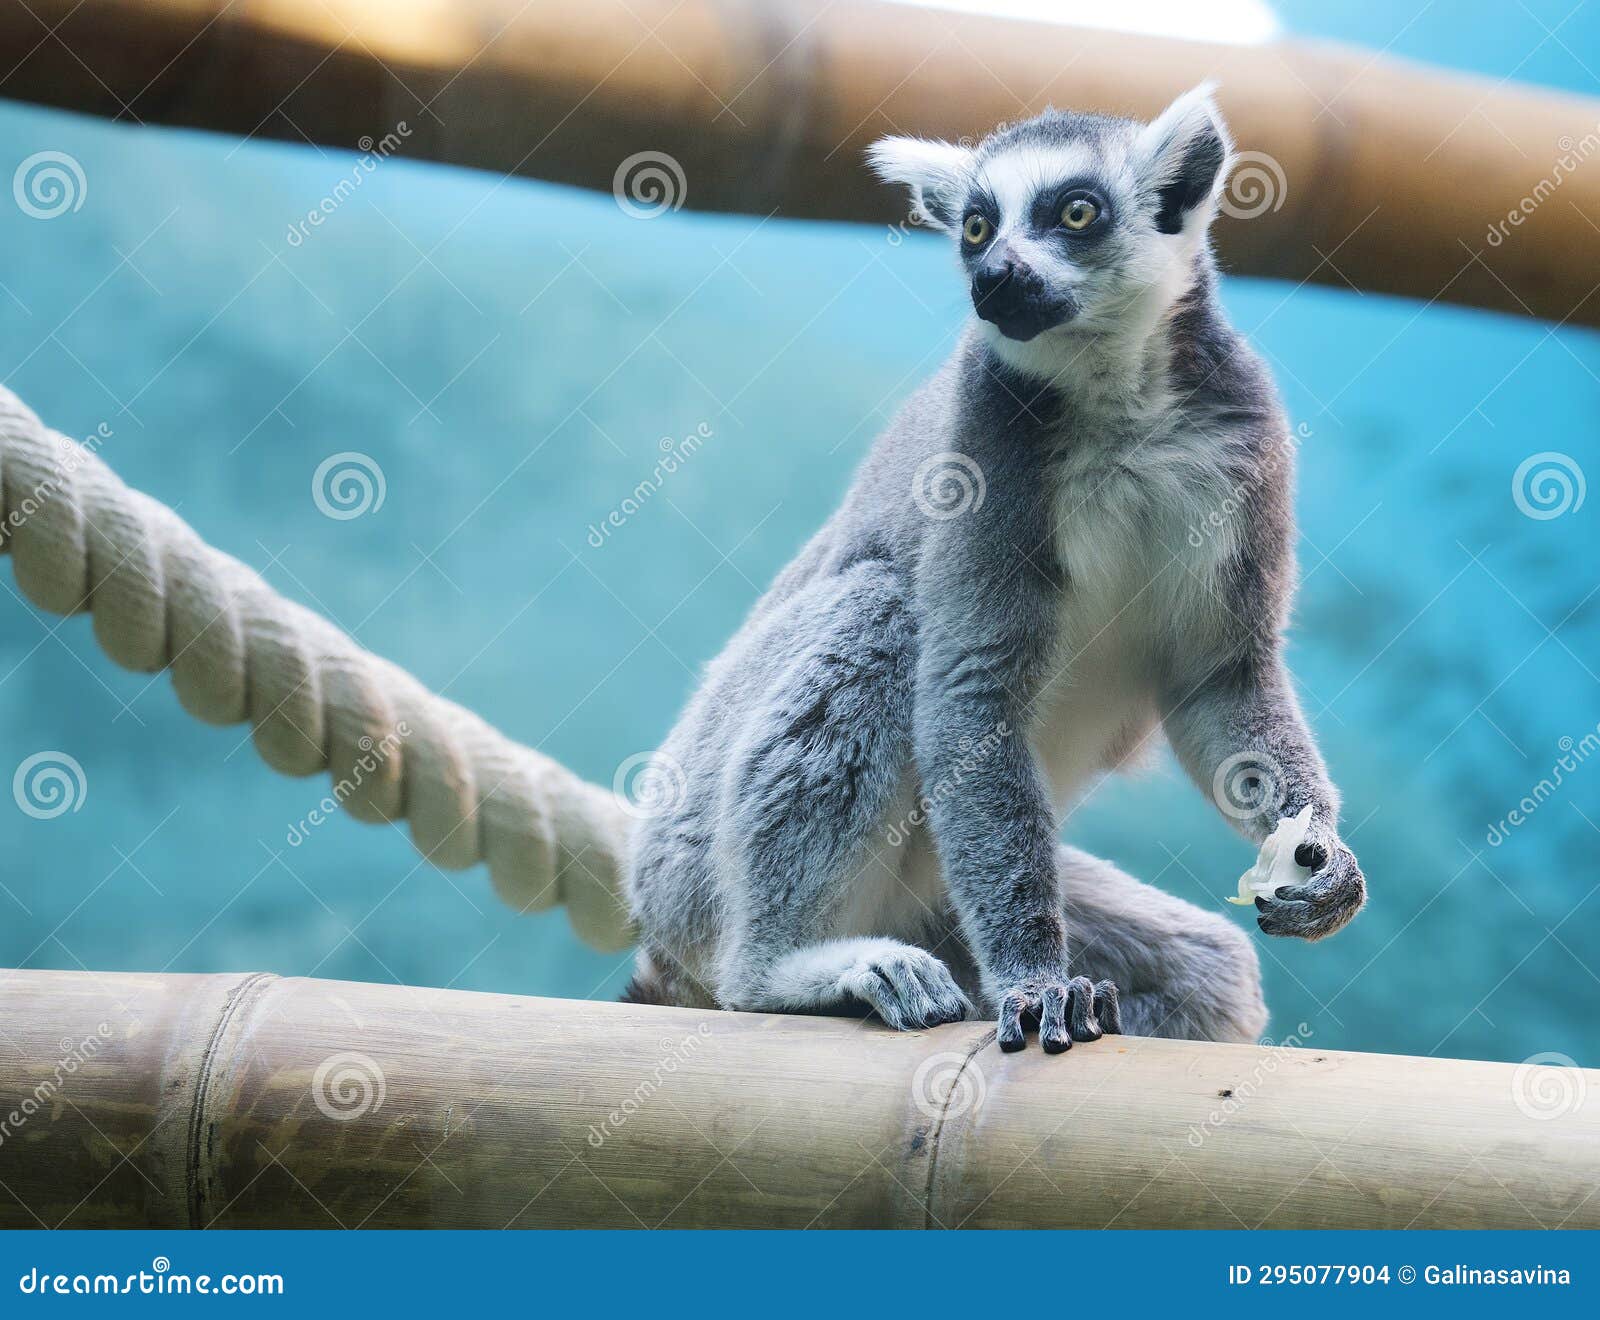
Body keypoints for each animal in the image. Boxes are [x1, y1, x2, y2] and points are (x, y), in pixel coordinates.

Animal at [621, 86, 1365, 1052]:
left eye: (1075, 212)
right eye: (976, 228)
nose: (993, 278)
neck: (1120, 408)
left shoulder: (1240, 441)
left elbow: (1220, 679)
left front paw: (1318, 856)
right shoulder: (984, 446)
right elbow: (972, 691)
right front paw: (1037, 980)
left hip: (939, 905)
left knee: (1212, 972)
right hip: (690, 858)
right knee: (878, 613)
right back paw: (785, 970)